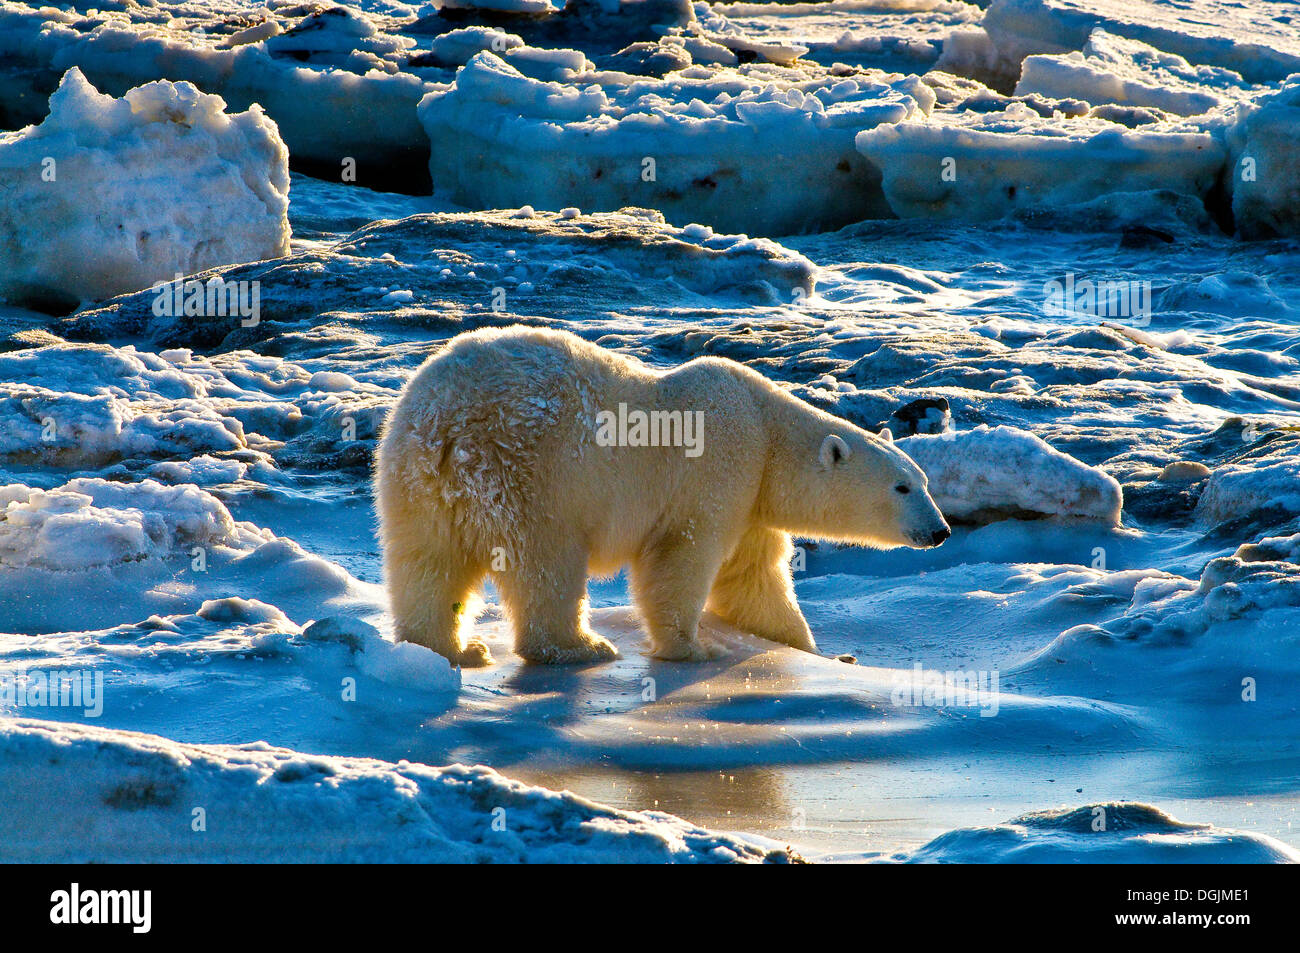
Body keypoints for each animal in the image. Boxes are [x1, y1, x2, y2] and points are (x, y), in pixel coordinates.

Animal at [374, 326, 950, 667]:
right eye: (902, 486)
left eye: (924, 480)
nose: (940, 531)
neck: (766, 429)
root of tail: (446, 428)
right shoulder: (719, 468)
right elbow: (683, 558)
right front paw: (691, 648)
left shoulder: (750, 501)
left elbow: (753, 580)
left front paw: (812, 650)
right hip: (529, 476)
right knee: (546, 564)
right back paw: (580, 647)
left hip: (412, 481)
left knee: (427, 564)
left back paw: (452, 648)